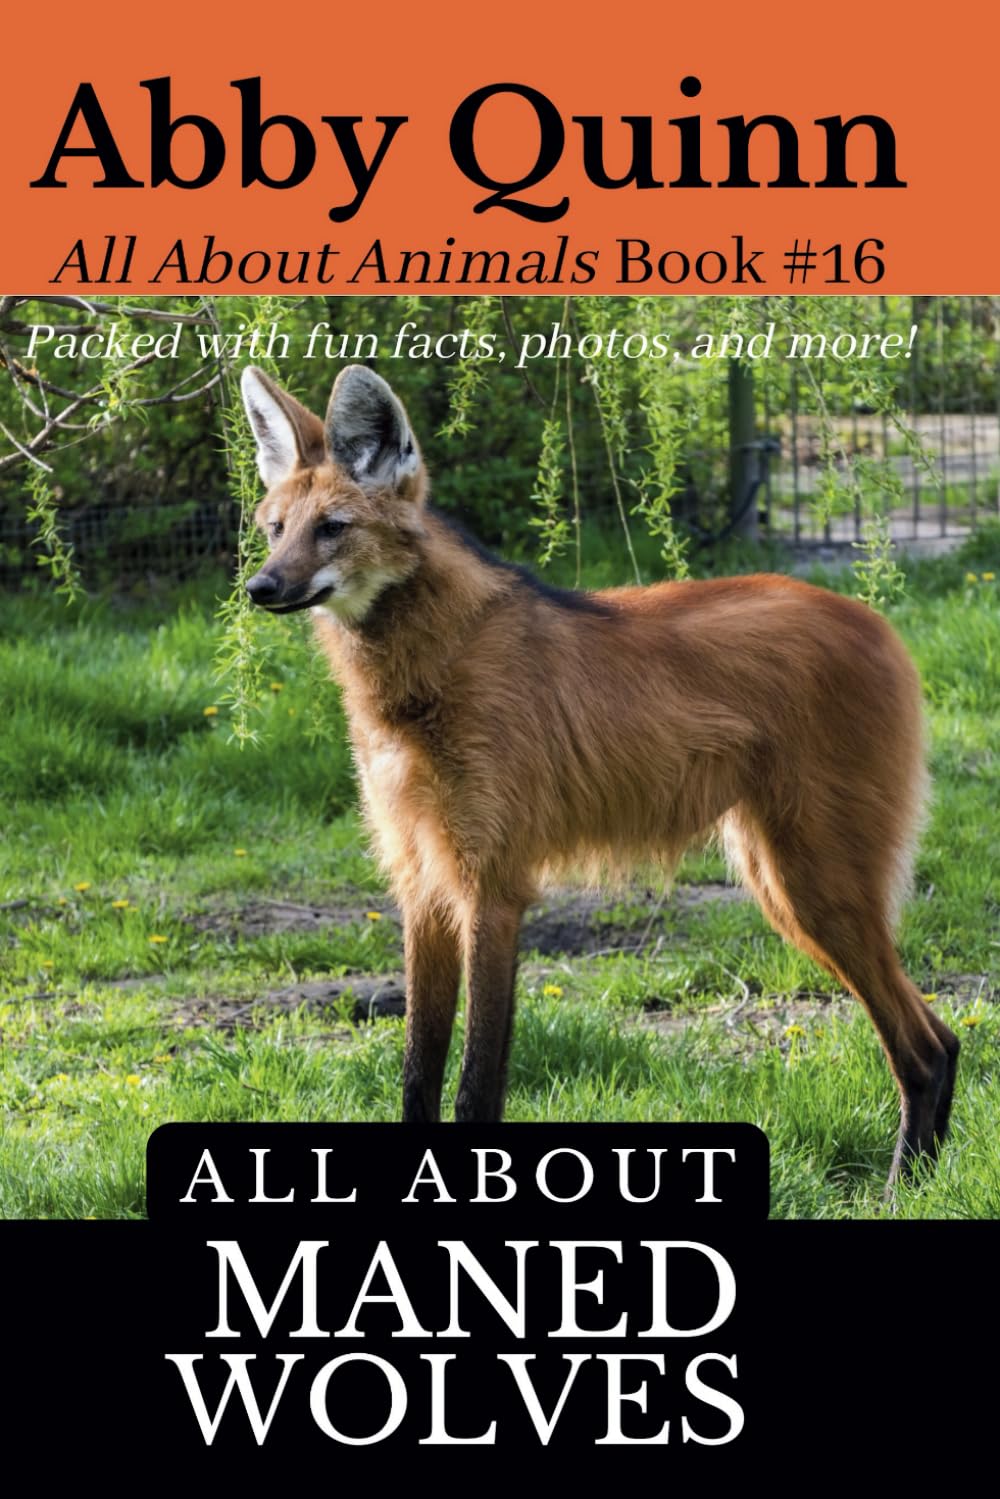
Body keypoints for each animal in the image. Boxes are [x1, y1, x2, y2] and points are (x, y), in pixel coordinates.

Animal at [240, 362, 958, 1189]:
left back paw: (902, 1190)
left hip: (813, 882)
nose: (260, 587)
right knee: (941, 1035)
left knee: (925, 1047)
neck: (419, 676)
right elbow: (418, 1073)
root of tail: (874, 618)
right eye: (275, 528)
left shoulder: (491, 888)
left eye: (333, 527)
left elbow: (473, 1084)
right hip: (777, 874)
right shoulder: (422, 885)